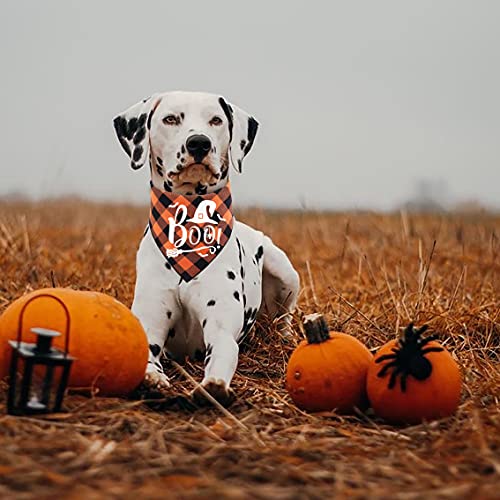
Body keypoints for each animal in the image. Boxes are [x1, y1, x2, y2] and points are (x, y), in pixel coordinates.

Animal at [113, 92, 298, 406]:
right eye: (170, 119)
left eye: (216, 120)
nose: (198, 142)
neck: (189, 231)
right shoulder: (150, 324)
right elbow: (146, 356)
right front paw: (152, 379)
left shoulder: (221, 330)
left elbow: (222, 355)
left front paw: (214, 385)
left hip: (285, 271)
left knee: (284, 318)